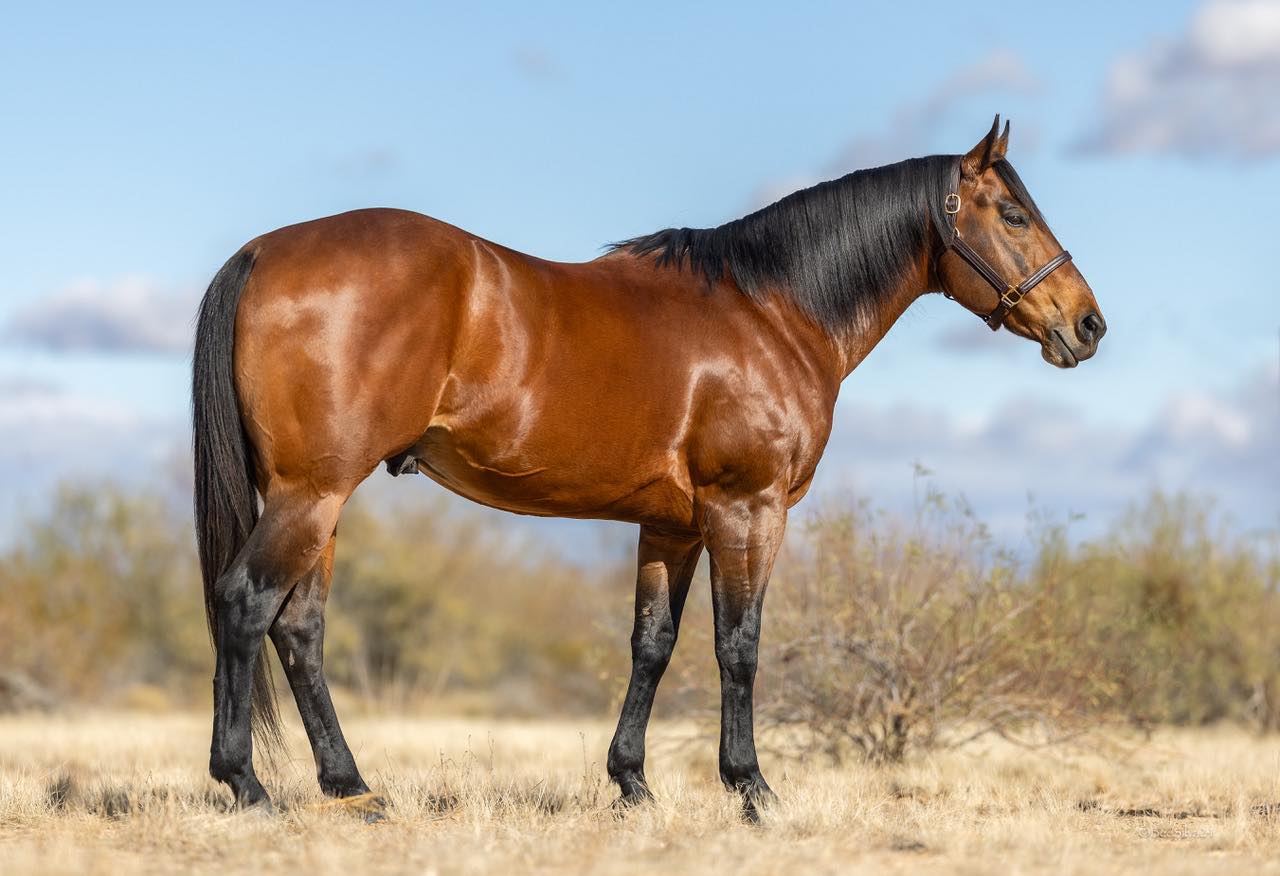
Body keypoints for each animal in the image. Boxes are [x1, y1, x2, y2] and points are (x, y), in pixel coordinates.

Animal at [192, 116, 1105, 819]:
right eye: (1013, 213)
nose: (1088, 324)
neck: (770, 311)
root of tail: (262, 252)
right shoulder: (748, 510)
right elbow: (739, 645)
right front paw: (752, 788)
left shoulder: (671, 526)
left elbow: (652, 646)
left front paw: (632, 783)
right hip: (312, 494)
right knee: (245, 604)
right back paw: (247, 786)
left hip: (317, 501)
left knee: (300, 628)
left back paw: (351, 787)